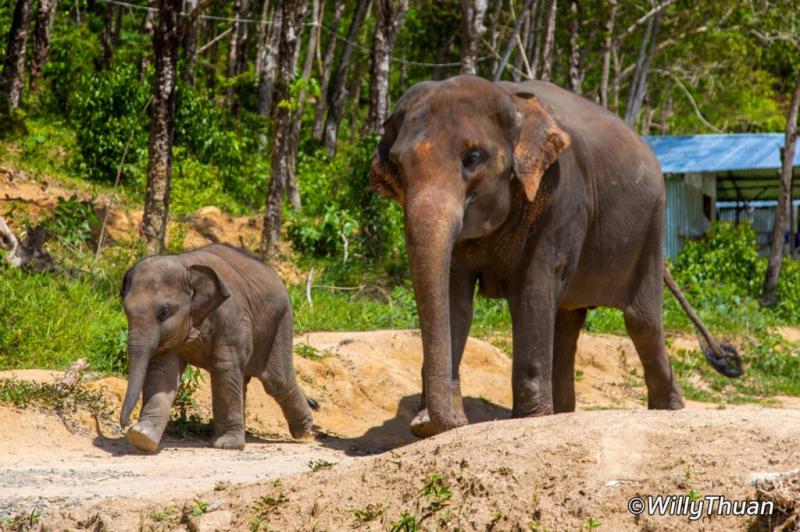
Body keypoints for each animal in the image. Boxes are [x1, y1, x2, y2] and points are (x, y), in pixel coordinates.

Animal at [119, 243, 316, 452]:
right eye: (125, 309)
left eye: (163, 313)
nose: (124, 424)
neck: (188, 266)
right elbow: (163, 371)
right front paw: (142, 437)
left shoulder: (231, 317)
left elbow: (224, 368)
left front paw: (227, 445)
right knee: (247, 379)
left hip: (280, 322)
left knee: (277, 381)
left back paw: (303, 430)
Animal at [369, 75, 742, 438]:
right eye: (397, 165)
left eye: (472, 157)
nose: (451, 423)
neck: (512, 102)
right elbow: (453, 297)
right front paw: (430, 426)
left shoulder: (563, 199)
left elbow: (533, 291)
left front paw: (525, 421)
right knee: (567, 322)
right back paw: (562, 414)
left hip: (650, 230)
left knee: (642, 323)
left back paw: (668, 410)